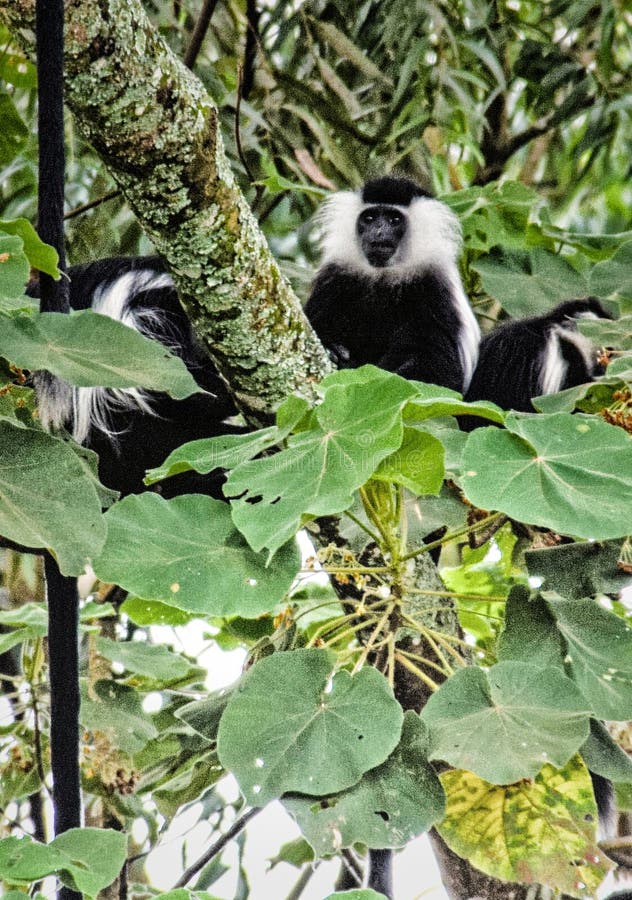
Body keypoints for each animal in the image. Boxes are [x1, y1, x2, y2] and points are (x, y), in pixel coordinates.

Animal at [304, 175, 480, 395]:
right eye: (369, 218)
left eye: (394, 219)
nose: (379, 231)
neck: (384, 274)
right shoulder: (334, 279)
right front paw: (332, 348)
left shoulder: (435, 291)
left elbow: (440, 367)